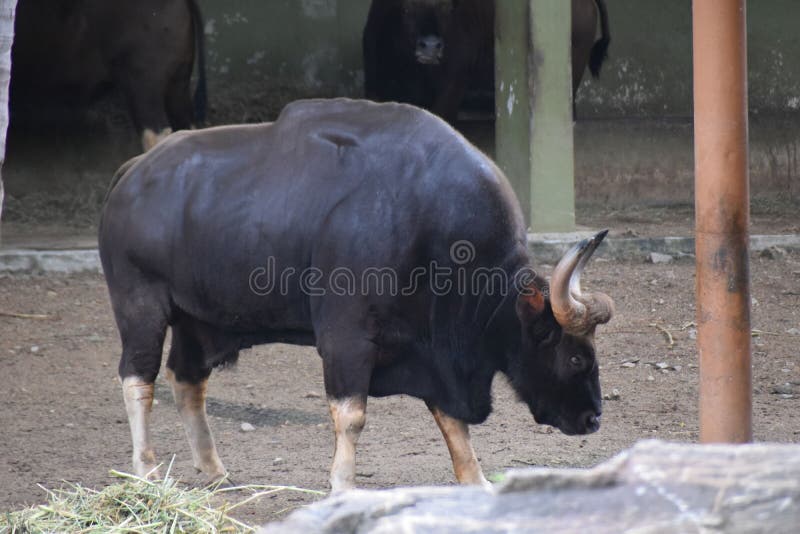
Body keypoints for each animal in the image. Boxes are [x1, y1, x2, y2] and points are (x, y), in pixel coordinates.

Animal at [99, 98, 614, 491]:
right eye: (575, 357)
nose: (593, 418)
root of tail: (132, 173)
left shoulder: (435, 352)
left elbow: (452, 421)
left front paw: (476, 479)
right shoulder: (346, 341)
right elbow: (352, 416)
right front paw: (342, 485)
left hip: (197, 321)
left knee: (187, 379)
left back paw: (214, 468)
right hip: (140, 307)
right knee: (138, 379)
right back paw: (146, 471)